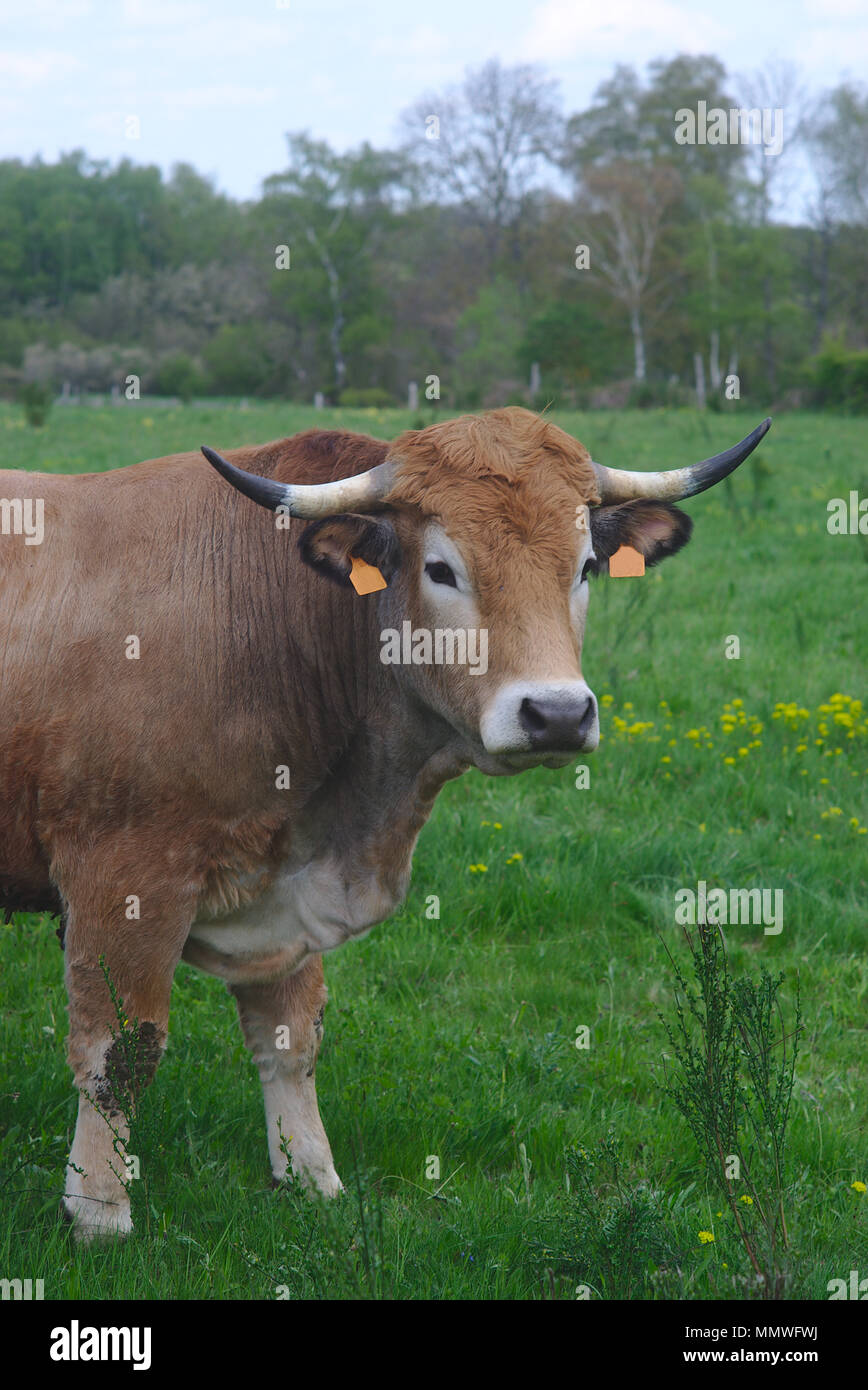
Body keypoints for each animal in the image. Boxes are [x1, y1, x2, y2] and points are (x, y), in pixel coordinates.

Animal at [0, 407, 771, 1240]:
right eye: (441, 569)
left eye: (588, 566)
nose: (559, 714)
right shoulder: (124, 883)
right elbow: (119, 1052)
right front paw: (99, 1209)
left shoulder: (287, 883)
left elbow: (292, 1040)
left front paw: (309, 1176)